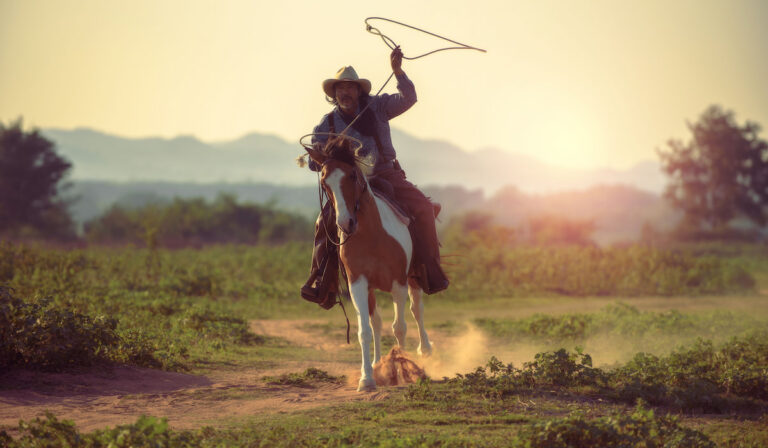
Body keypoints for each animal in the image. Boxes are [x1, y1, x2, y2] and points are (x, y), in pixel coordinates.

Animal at [306, 143, 433, 392]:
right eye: (325, 182)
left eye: (352, 175)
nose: (345, 223)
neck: (372, 234)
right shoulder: (358, 283)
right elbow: (365, 330)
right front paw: (367, 379)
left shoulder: (398, 283)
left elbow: (399, 327)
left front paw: (402, 370)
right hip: (372, 288)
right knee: (377, 323)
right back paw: (377, 364)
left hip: (414, 278)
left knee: (417, 310)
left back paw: (425, 350)